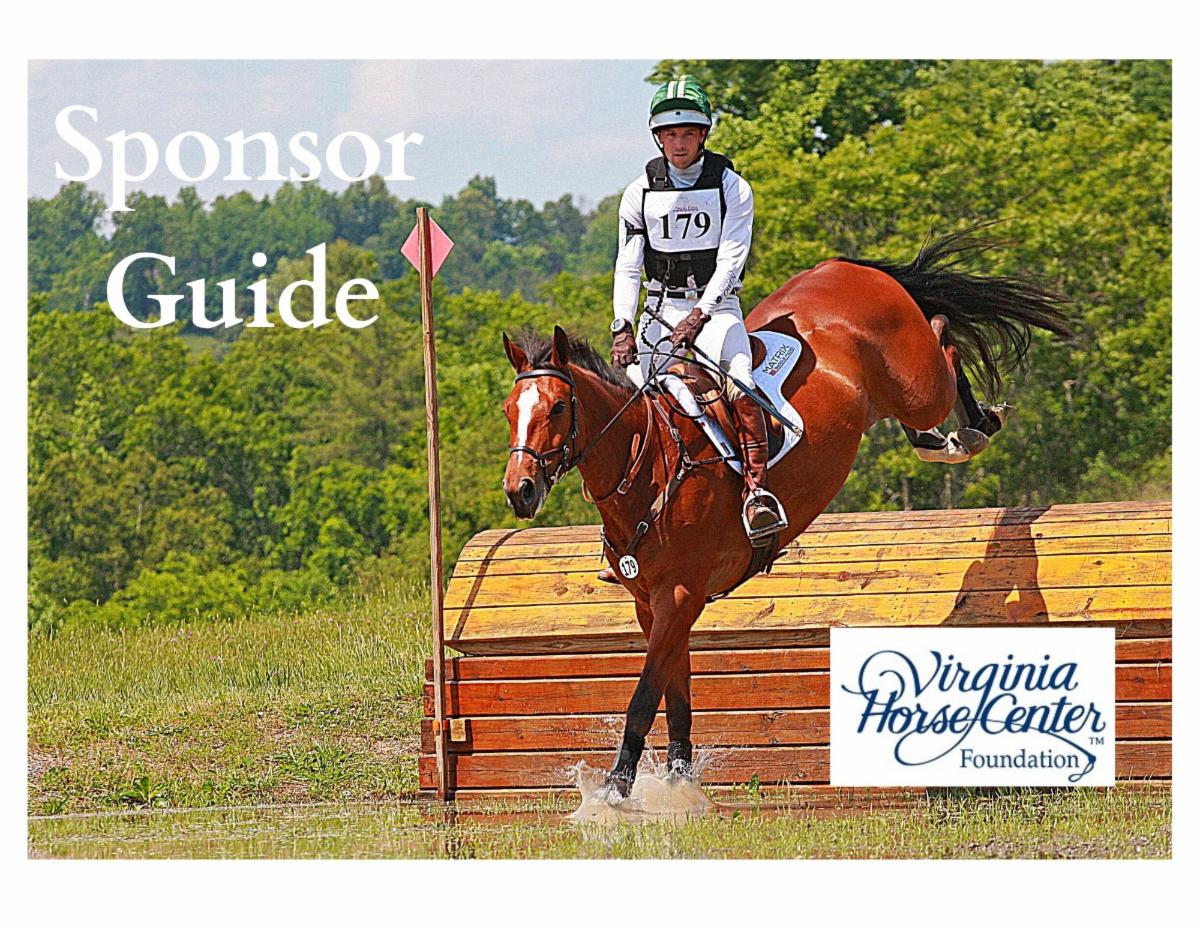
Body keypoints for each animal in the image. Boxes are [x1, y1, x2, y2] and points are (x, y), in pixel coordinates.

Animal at [500, 227, 1071, 797]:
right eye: (509, 411)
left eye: (557, 408)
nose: (519, 491)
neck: (650, 465)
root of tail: (847, 267)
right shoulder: (654, 605)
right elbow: (676, 699)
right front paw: (679, 788)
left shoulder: (680, 598)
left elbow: (644, 700)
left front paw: (615, 795)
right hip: (892, 399)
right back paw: (938, 440)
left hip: (919, 384)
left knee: (942, 333)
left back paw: (977, 424)